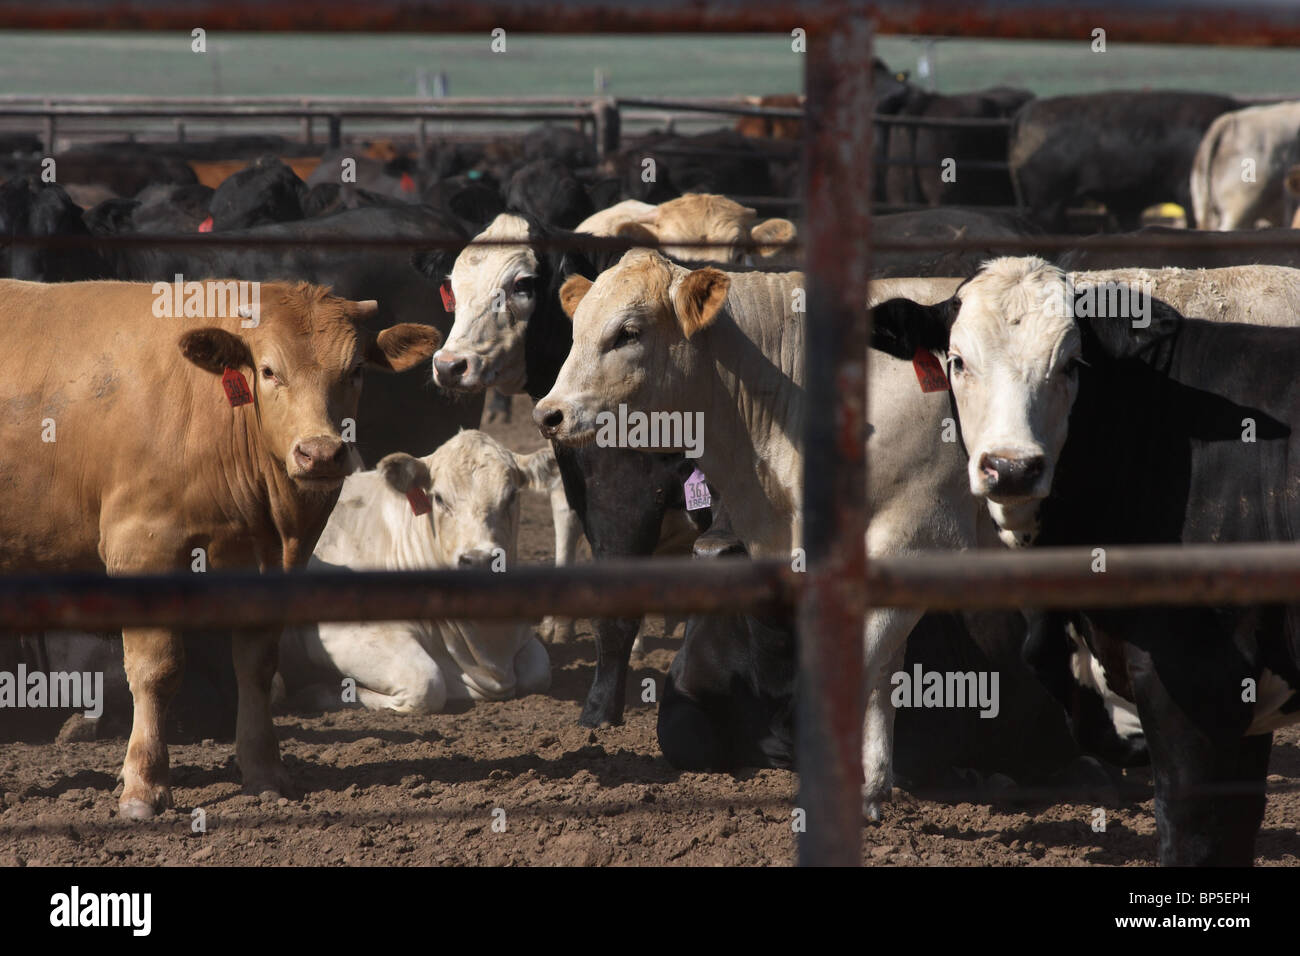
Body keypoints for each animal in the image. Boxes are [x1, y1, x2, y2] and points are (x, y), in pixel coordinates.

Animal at [0, 277, 440, 819]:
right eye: (268, 370)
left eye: (355, 369)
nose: (319, 454)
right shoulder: (141, 548)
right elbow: (155, 671)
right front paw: (143, 785)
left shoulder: (268, 565)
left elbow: (256, 667)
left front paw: (265, 772)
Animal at [279, 431, 556, 713]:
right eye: (439, 498)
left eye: (511, 496)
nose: (479, 560)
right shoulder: (339, 634)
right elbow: (425, 683)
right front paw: (317, 693)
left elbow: (539, 670)